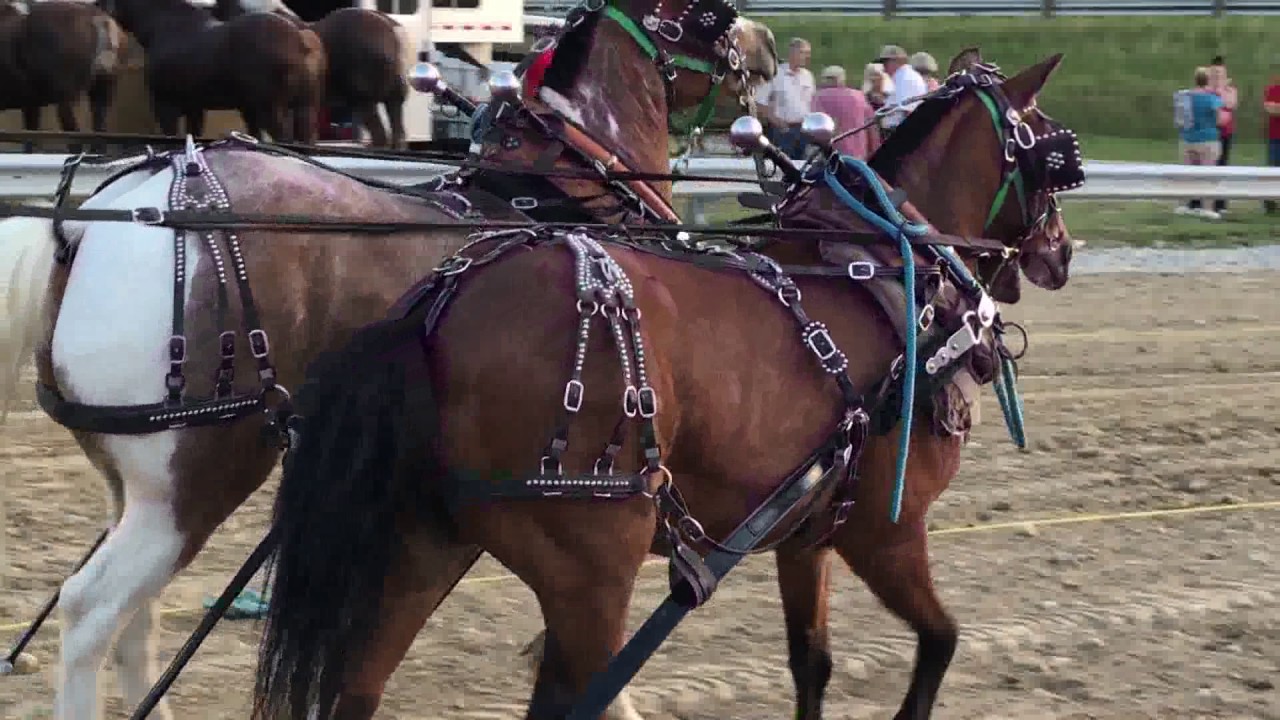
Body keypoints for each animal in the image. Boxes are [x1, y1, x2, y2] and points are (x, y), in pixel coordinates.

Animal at [0, 0, 128, 154]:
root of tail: (99, 18)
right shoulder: (30, 104)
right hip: (102, 92)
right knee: (99, 136)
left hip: (67, 100)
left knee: (75, 139)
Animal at [93, 0, 326, 143]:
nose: (95, 6)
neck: (165, 26)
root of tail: (300, 39)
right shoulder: (194, 107)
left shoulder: (165, 105)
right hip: (305, 107)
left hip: (272, 108)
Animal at [248, 47, 1083, 719]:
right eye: (1051, 154)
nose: (1062, 252)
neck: (886, 269)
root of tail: (438, 311)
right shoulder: (888, 531)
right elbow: (941, 641)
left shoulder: (806, 538)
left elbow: (812, 663)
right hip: (589, 565)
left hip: (429, 545)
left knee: (359, 688)